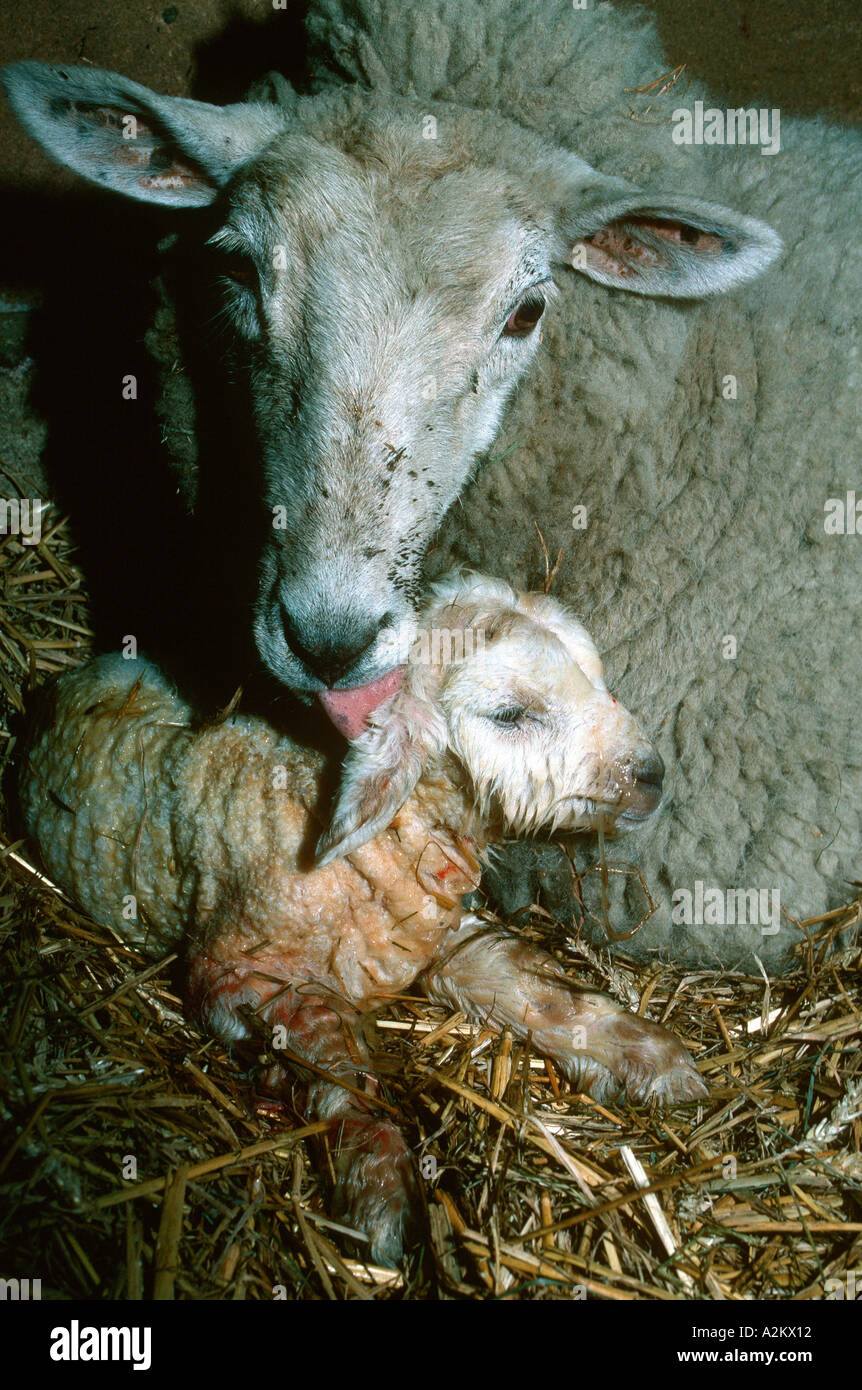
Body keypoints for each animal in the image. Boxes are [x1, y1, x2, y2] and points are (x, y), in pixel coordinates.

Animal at [17, 571, 705, 1266]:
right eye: (510, 715)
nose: (651, 777)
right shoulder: (237, 977)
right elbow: (336, 1063)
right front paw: (383, 1198)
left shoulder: (434, 934)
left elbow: (531, 985)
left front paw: (647, 1055)